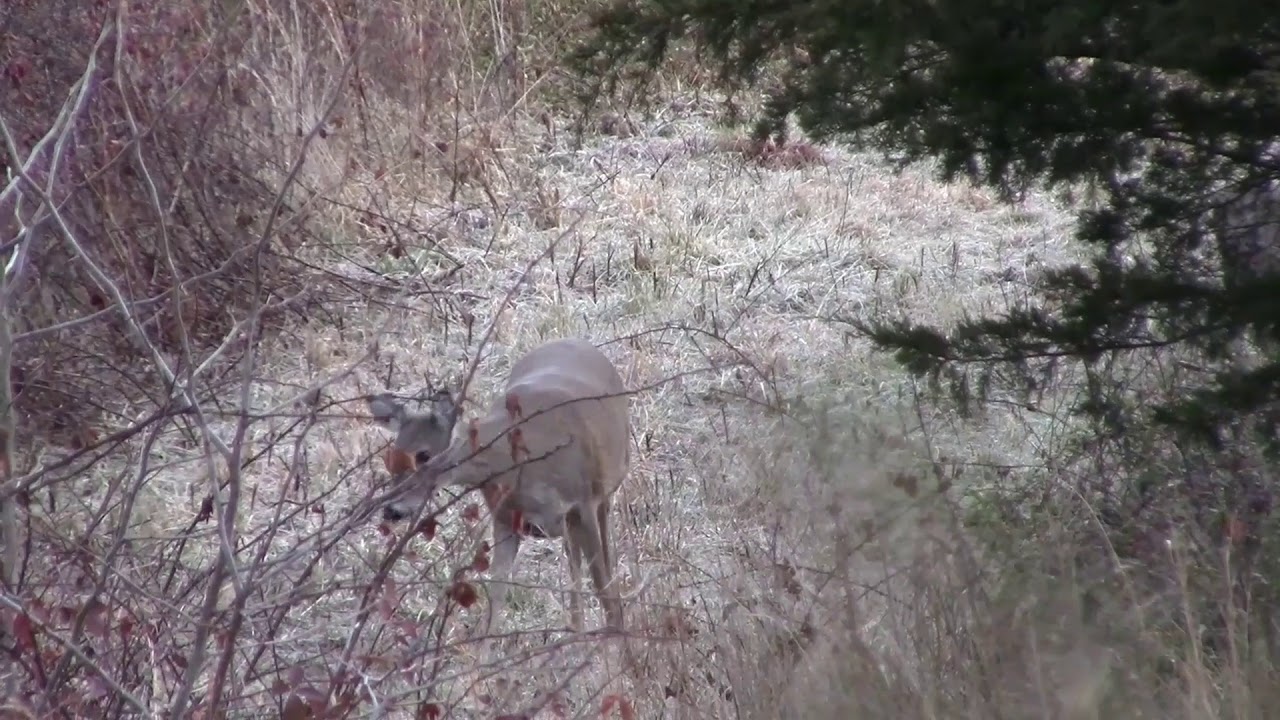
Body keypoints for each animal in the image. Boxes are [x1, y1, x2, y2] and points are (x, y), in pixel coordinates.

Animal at [366, 337, 632, 634]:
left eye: (423, 454)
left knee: (604, 569)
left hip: (604, 490)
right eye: (390, 456)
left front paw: (621, 644)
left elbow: (604, 589)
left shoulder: (583, 502)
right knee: (574, 571)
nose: (392, 510)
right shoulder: (505, 518)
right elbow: (495, 603)